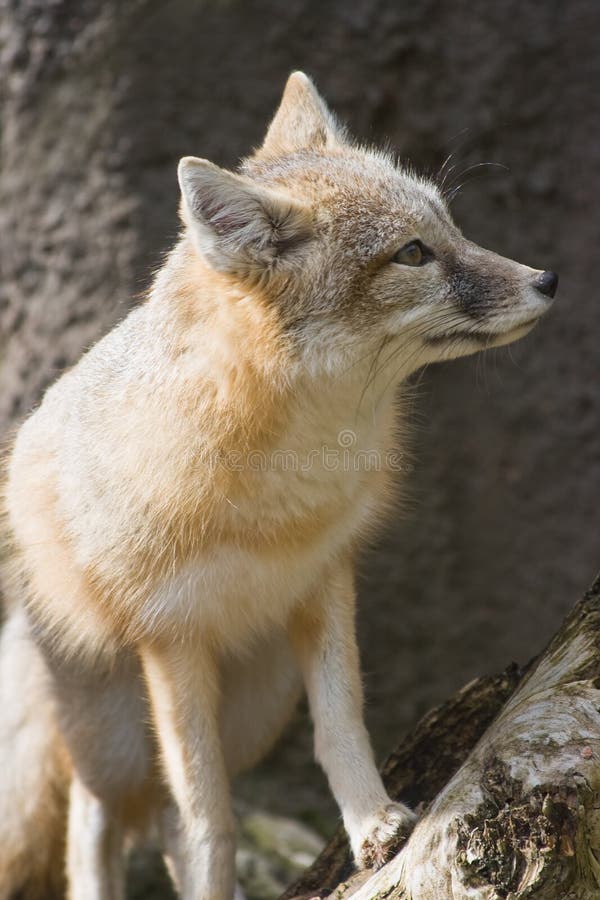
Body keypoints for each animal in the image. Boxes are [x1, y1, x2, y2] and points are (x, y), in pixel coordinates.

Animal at [0, 71, 558, 900]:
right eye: (412, 254)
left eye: (450, 227)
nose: (547, 280)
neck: (274, 493)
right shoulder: (173, 641)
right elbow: (207, 818)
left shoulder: (323, 581)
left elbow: (341, 724)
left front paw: (371, 823)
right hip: (116, 734)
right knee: (98, 820)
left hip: (257, 706)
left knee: (157, 819)